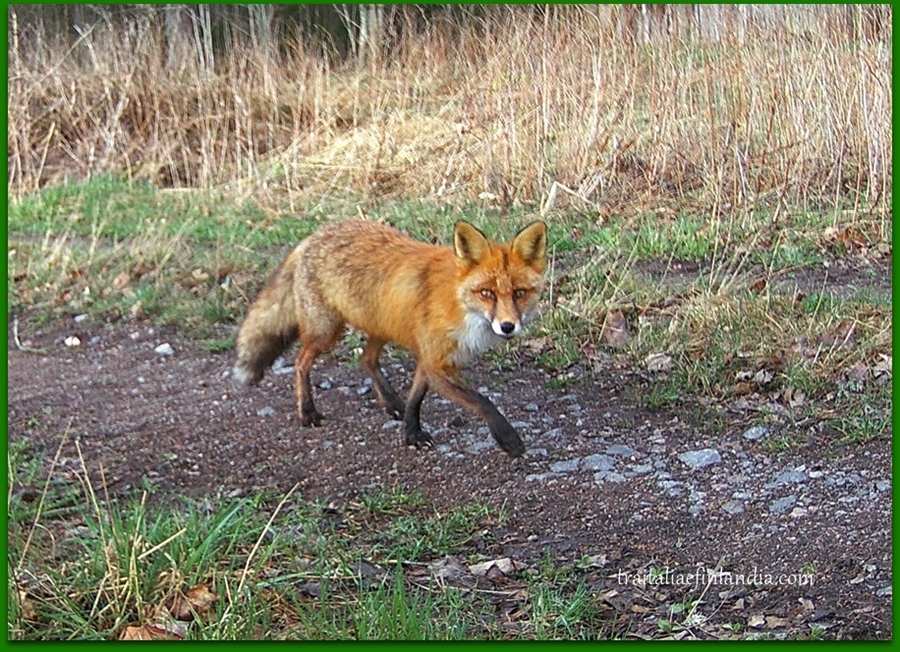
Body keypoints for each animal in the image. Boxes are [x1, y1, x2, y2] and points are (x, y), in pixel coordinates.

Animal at [232, 218, 547, 458]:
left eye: (519, 293)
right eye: (487, 293)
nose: (507, 327)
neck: (459, 303)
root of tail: (312, 236)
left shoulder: (429, 358)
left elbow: (416, 398)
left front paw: (411, 432)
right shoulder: (436, 362)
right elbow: (483, 401)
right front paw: (508, 439)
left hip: (379, 327)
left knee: (366, 359)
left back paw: (392, 402)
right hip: (327, 332)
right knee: (300, 362)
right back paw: (307, 412)